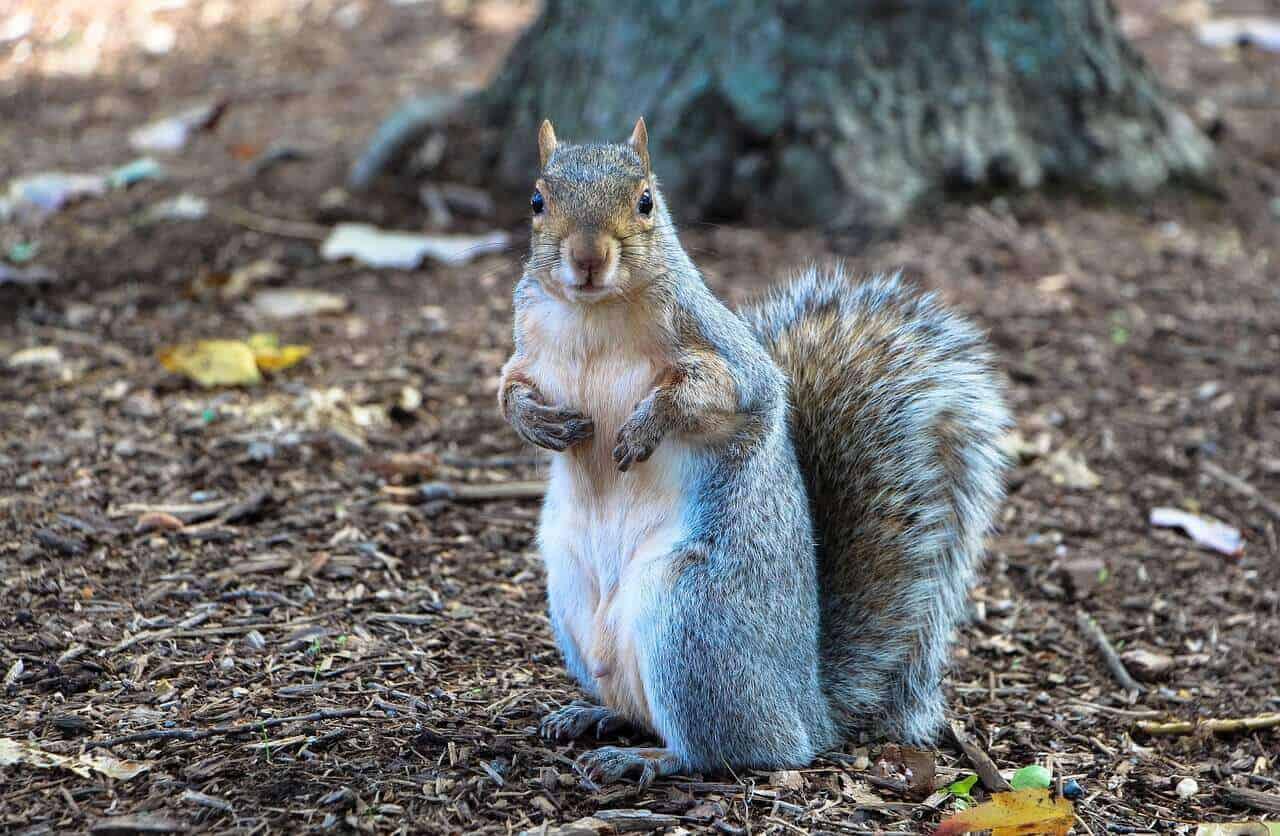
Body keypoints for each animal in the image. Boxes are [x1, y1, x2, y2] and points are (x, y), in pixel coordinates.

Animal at [498, 117, 1011, 787]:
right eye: (537, 201)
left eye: (646, 201)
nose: (587, 259)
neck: (595, 315)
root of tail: (808, 708)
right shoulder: (526, 348)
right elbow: (508, 389)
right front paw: (538, 422)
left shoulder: (725, 353)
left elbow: (724, 395)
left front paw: (645, 426)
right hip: (571, 600)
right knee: (638, 709)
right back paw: (593, 717)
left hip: (693, 620)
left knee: (733, 747)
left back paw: (650, 757)